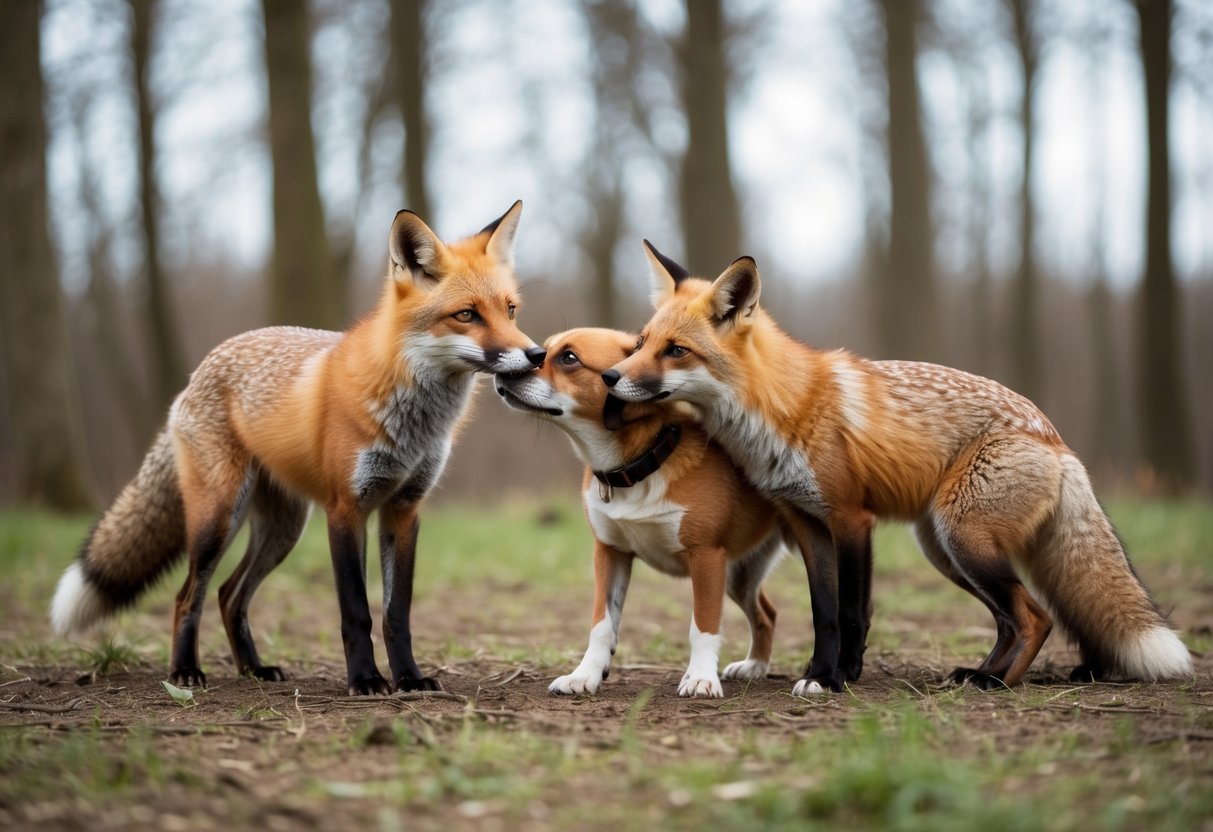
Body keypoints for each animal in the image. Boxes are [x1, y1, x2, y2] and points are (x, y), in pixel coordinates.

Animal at [50, 202, 546, 695]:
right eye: (466, 315)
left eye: (510, 310)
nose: (537, 354)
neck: (413, 422)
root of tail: (198, 372)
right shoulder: (345, 508)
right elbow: (356, 612)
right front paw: (365, 680)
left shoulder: (404, 510)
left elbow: (396, 613)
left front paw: (408, 677)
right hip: (219, 517)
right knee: (187, 595)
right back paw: (185, 671)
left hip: (283, 530)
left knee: (230, 595)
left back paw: (253, 668)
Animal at [494, 326, 787, 697]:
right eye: (541, 352)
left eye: (569, 358)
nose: (503, 372)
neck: (639, 466)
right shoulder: (610, 553)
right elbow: (601, 625)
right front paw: (585, 675)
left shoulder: (706, 557)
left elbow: (703, 627)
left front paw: (701, 677)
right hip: (740, 574)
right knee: (767, 614)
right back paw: (756, 665)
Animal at [602, 240, 1193, 694]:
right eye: (641, 343)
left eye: (676, 351)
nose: (610, 377)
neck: (782, 409)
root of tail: (1055, 437)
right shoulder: (806, 522)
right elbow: (823, 612)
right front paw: (820, 673)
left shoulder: (850, 517)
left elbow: (852, 611)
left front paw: (839, 679)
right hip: (945, 550)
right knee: (1010, 618)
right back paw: (975, 674)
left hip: (965, 540)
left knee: (1035, 615)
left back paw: (996, 684)